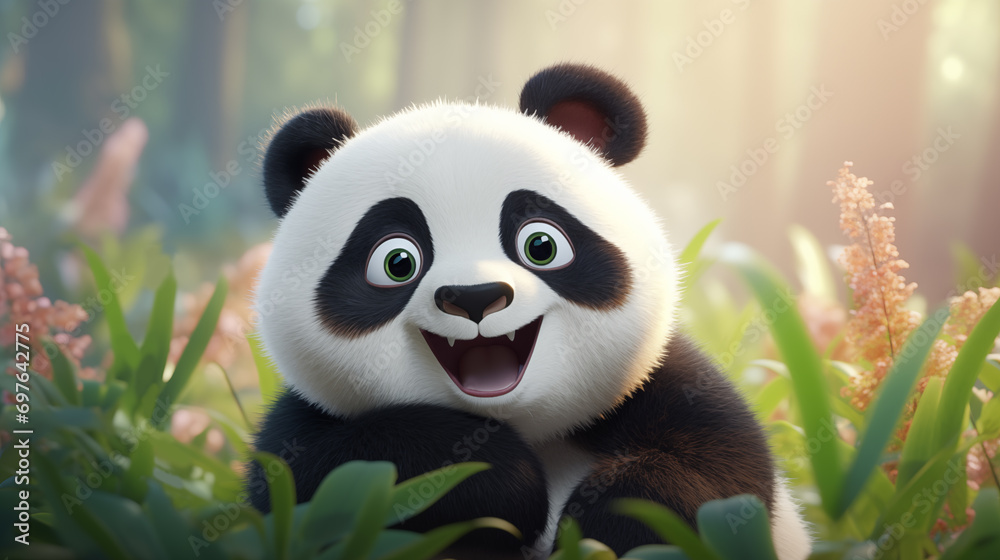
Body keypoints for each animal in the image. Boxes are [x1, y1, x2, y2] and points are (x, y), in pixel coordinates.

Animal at [246, 63, 811, 559]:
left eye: (540, 244)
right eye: (397, 262)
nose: (474, 297)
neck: (529, 424)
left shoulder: (667, 386)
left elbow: (714, 478)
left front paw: (602, 521)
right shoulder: (302, 436)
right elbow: (321, 481)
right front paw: (495, 473)